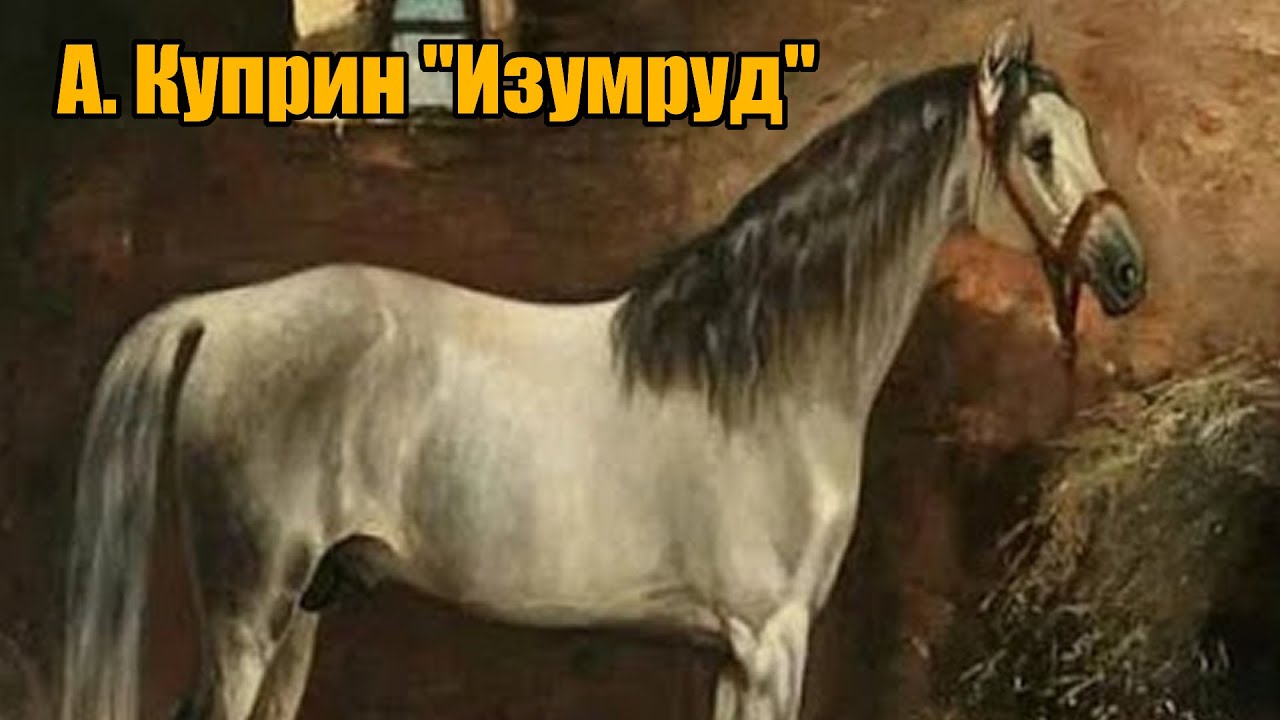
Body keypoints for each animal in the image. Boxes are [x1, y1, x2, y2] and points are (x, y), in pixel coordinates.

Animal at [61, 19, 1146, 720]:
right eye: (1038, 146)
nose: (1126, 268)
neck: (762, 373)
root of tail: (220, 313)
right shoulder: (771, 641)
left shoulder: (734, 653)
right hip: (253, 610)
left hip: (304, 610)